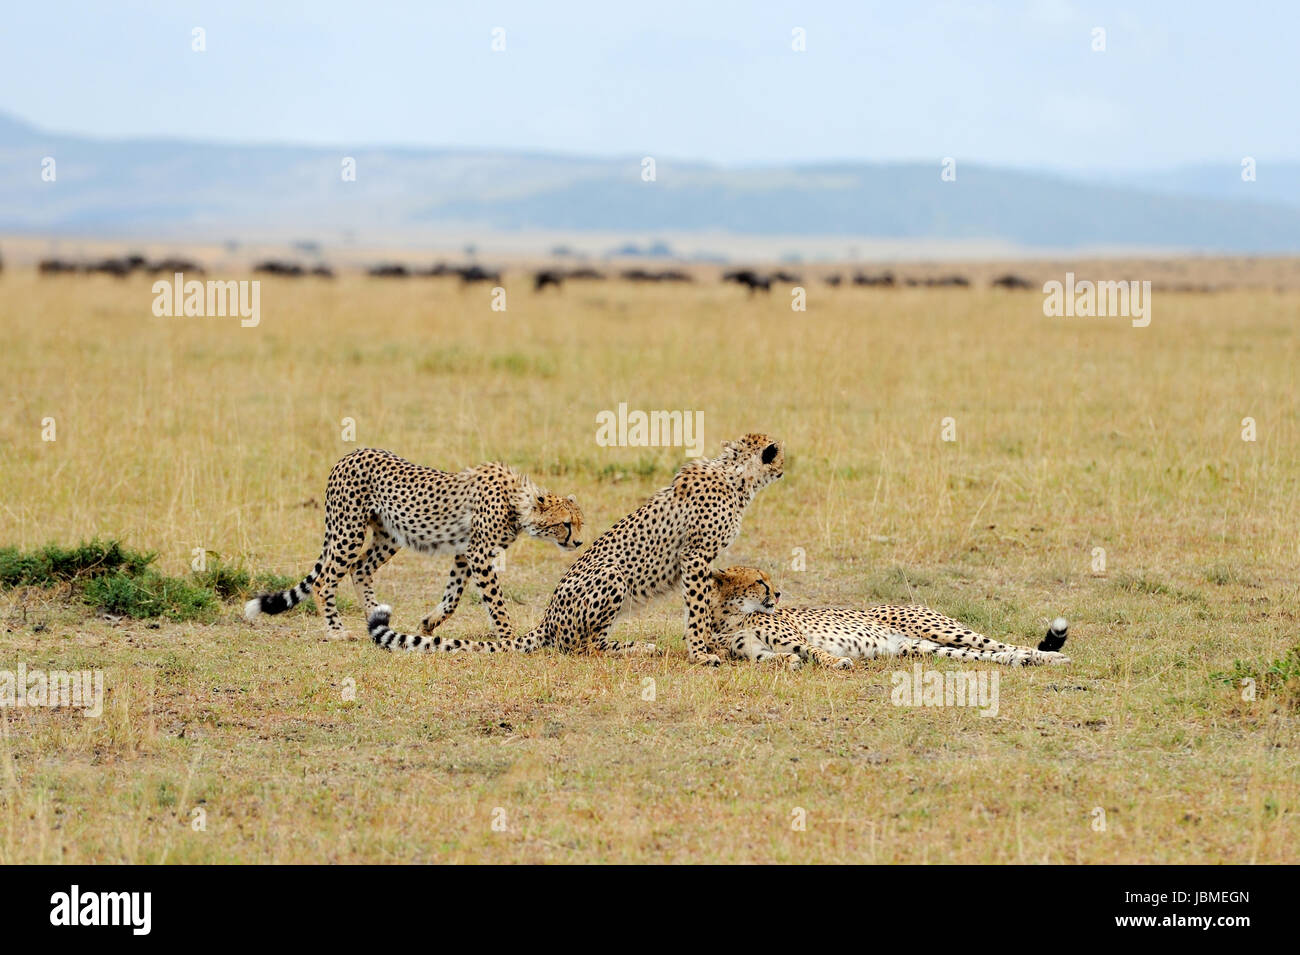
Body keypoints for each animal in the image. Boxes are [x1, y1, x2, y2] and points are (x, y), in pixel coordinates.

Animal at [243, 447, 584, 639]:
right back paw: (336, 631)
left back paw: (375, 617)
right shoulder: (478, 554)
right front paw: (508, 635)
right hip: (349, 531)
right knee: (325, 579)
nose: (579, 542)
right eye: (566, 524)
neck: (518, 503)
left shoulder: (464, 553)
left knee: (360, 569)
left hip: (389, 536)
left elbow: (452, 597)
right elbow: (495, 601)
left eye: (580, 522)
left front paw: (428, 624)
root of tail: (348, 455)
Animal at [366, 433, 785, 663]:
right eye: (778, 455)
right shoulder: (695, 555)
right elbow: (698, 609)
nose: (784, 469)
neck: (737, 478)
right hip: (613, 578)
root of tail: (546, 618)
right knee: (583, 647)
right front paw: (702, 653)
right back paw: (632, 648)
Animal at [704, 566, 1071, 670]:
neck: (730, 616)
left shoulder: (800, 639)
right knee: (987, 655)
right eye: (759, 581)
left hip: (943, 630)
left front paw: (838, 663)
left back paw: (1051, 658)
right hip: (924, 648)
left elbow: (817, 652)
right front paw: (789, 663)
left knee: (1004, 644)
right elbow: (772, 658)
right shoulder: (756, 652)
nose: (778, 594)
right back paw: (1022, 661)